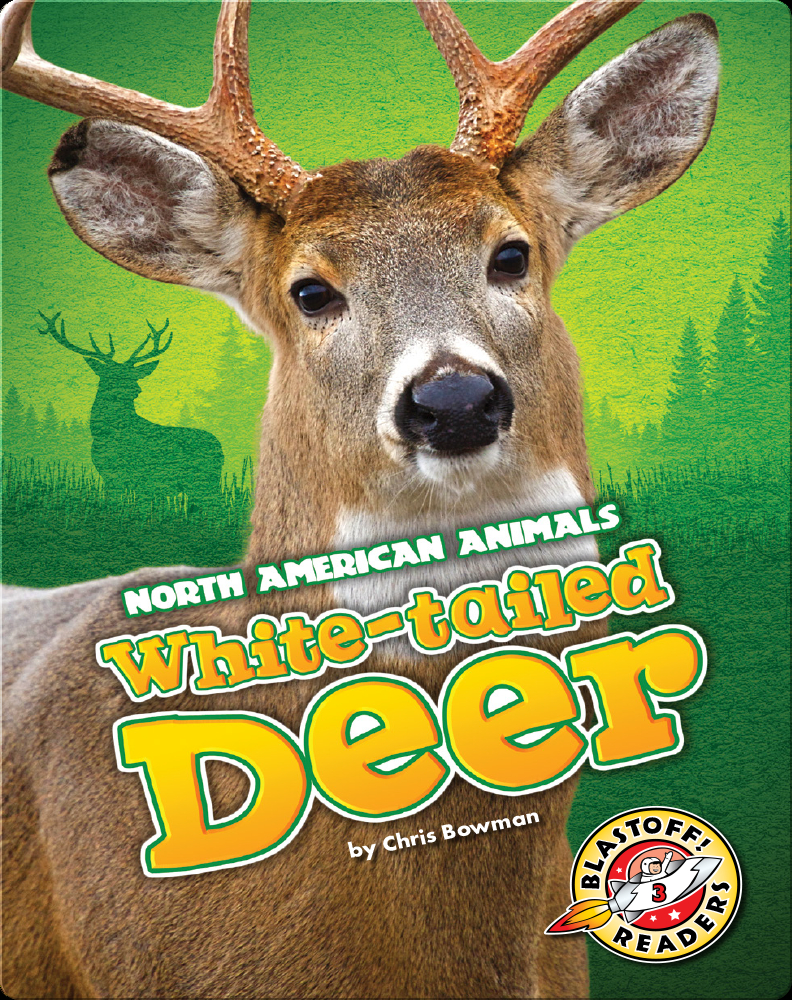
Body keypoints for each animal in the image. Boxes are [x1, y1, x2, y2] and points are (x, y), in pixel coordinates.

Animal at [36, 311, 224, 502]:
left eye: (134, 375)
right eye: (112, 374)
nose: (136, 389)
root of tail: (220, 448)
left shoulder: (142, 478)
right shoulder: (110, 477)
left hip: (204, 481)